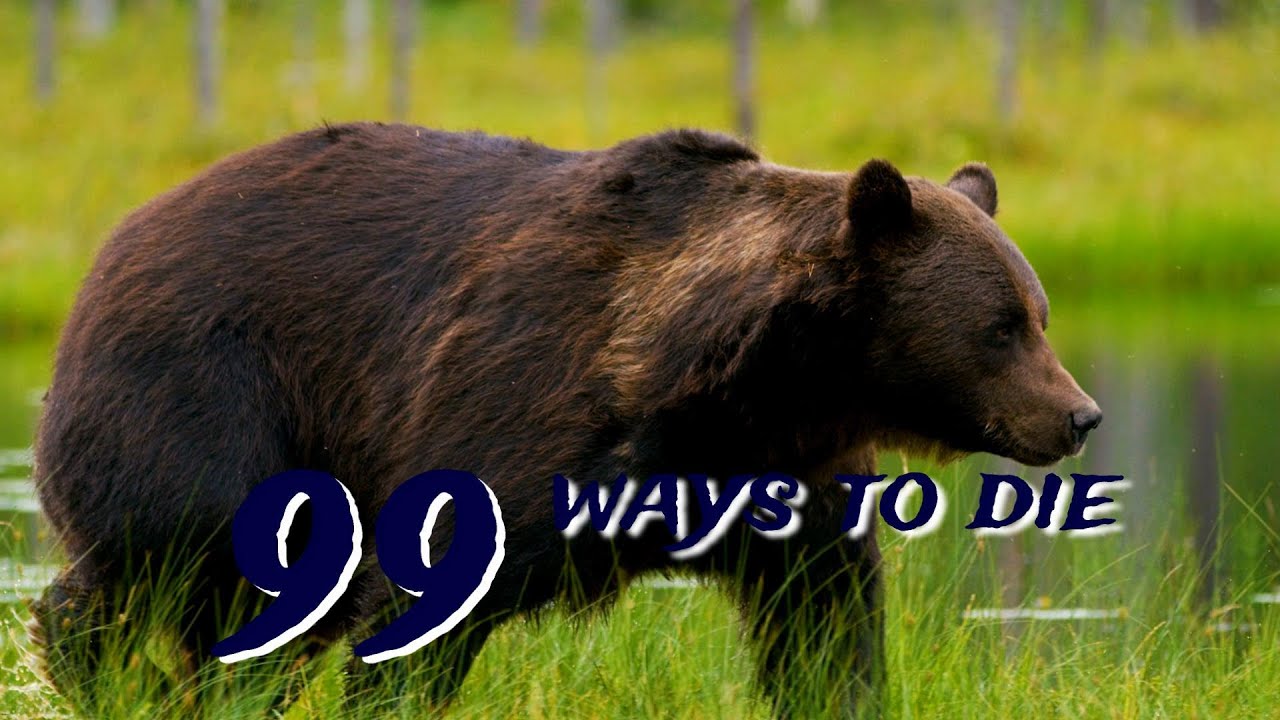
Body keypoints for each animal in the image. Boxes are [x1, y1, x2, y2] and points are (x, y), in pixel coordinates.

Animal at [31, 124, 1101, 717]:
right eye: (1002, 326)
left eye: (1040, 313)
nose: (1079, 415)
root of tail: (113, 241)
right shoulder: (526, 401)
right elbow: (433, 583)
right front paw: (390, 694)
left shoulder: (778, 471)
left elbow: (824, 617)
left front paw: (837, 694)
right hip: (212, 385)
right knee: (173, 551)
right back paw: (96, 673)